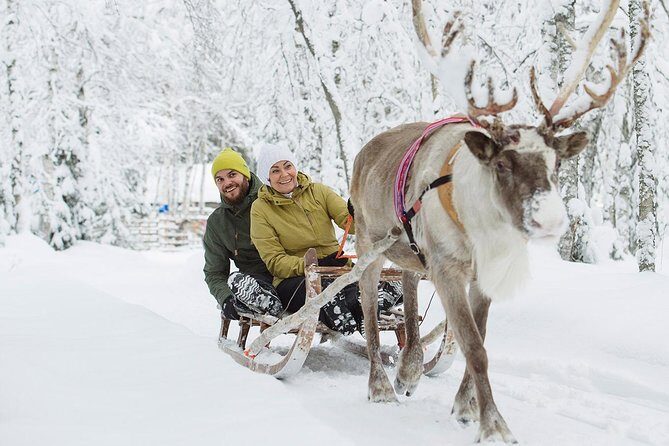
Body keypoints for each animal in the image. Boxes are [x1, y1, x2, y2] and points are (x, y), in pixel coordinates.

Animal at [349, 1, 648, 443]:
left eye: (556, 163)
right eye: (503, 163)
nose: (550, 220)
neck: (481, 233)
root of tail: (364, 152)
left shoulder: (485, 273)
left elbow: (478, 336)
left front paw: (465, 407)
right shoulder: (448, 269)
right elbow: (474, 347)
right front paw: (494, 425)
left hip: (411, 250)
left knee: (409, 284)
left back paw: (410, 369)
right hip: (368, 244)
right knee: (369, 309)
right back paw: (381, 385)